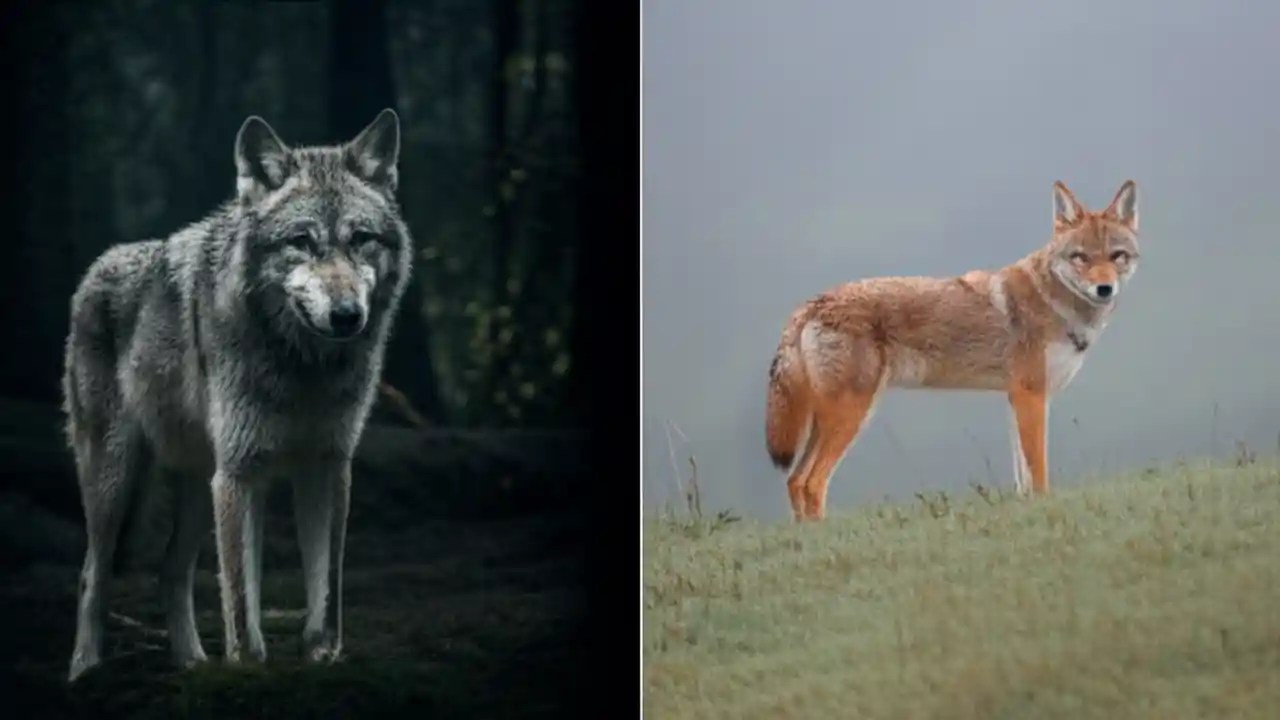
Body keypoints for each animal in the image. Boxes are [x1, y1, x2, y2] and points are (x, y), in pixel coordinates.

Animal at [63, 108, 413, 682]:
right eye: (301, 241)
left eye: (361, 238)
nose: (346, 315)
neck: (303, 369)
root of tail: (96, 268)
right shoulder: (241, 473)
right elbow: (242, 600)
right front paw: (248, 667)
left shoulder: (327, 465)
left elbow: (327, 590)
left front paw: (322, 657)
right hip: (115, 480)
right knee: (93, 573)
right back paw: (85, 670)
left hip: (196, 485)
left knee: (170, 570)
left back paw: (193, 664)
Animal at [764, 180, 1140, 521]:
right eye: (1081, 258)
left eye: (1117, 256)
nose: (1104, 288)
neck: (1055, 302)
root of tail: (809, 305)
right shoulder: (1031, 396)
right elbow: (1039, 472)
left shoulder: (1017, 399)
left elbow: (1022, 478)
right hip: (850, 416)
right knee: (812, 482)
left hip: (830, 421)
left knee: (795, 481)